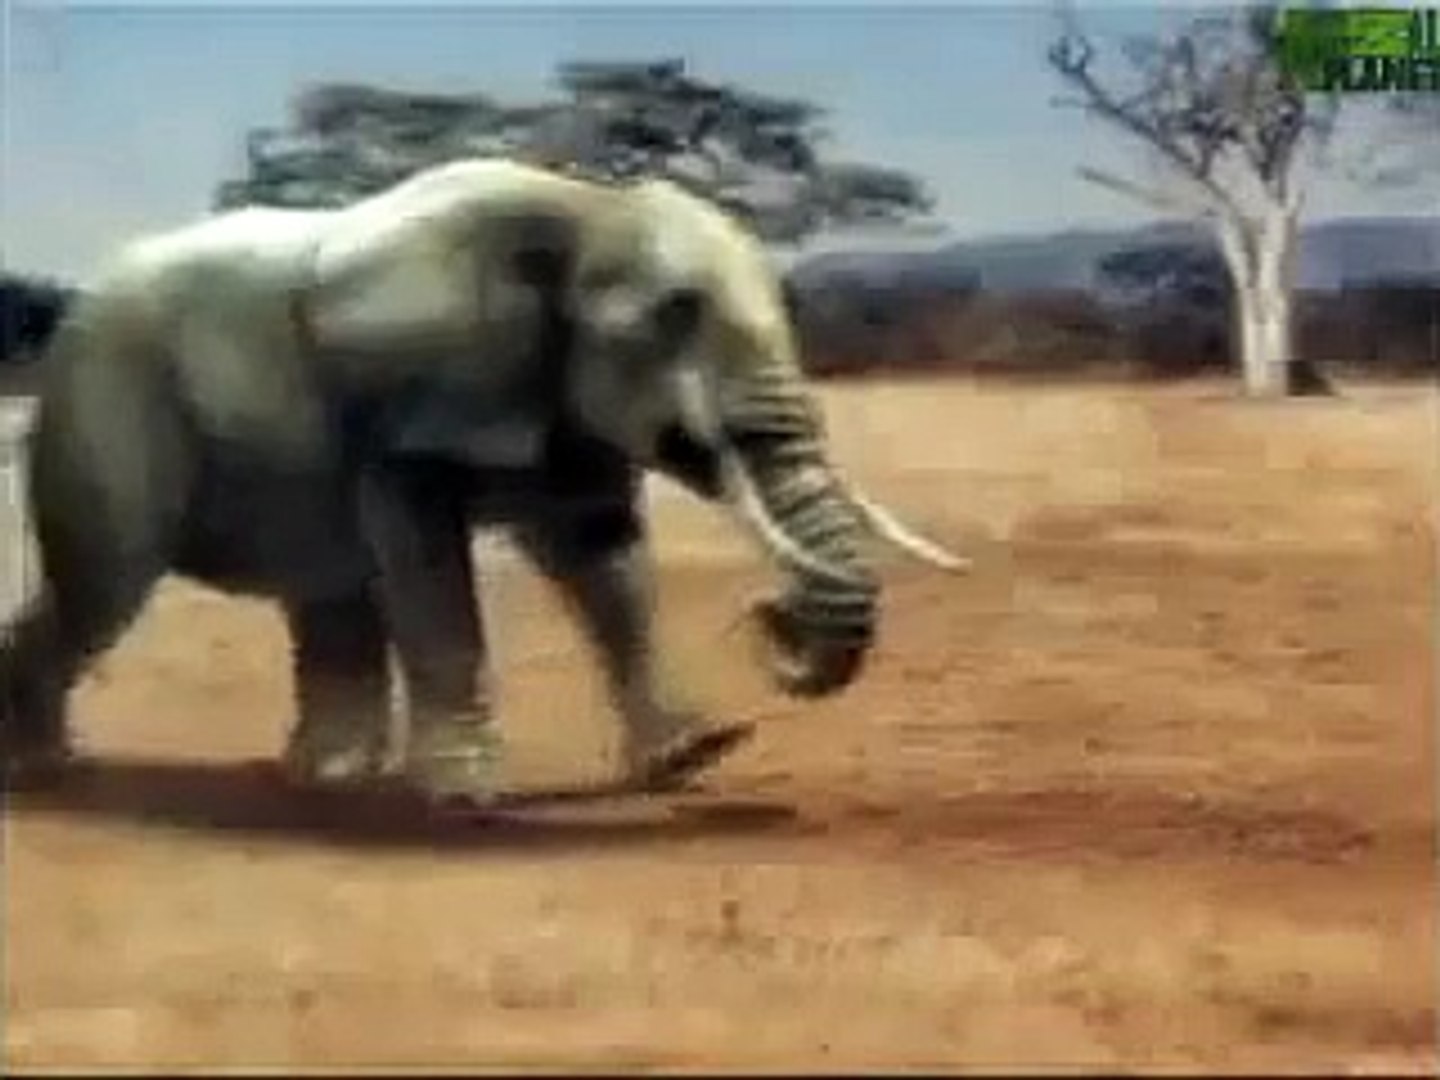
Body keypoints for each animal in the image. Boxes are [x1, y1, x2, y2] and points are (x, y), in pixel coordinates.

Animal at [0, 157, 967, 804]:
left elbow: (606, 560)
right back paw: (47, 771)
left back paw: (329, 778)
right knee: (102, 586)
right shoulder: (409, 395)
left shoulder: (554, 397)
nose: (770, 621)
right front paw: (464, 795)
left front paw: (696, 756)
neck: (582, 209)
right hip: (105, 394)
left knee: (324, 588)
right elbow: (429, 562)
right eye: (675, 315)